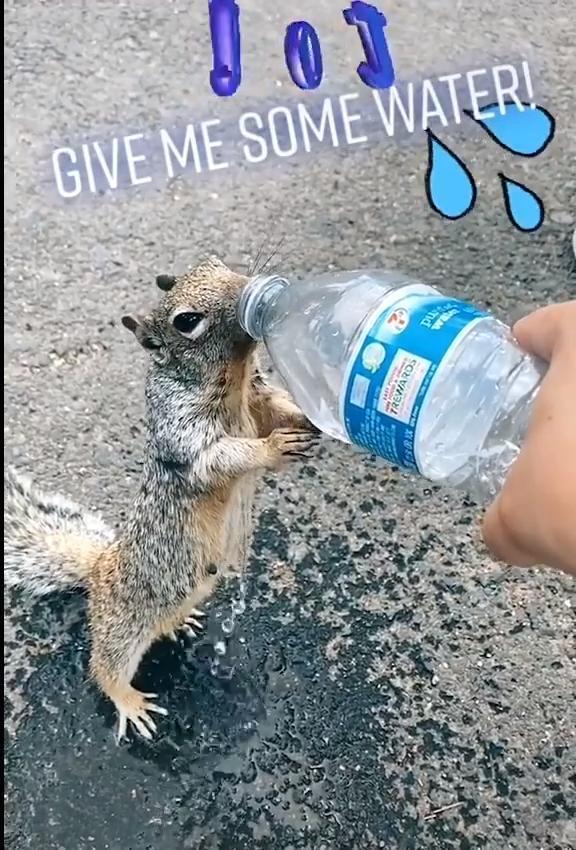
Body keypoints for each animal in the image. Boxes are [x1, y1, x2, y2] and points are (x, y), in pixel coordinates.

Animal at [4, 257, 317, 741]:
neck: (233, 378)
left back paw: (180, 621)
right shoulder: (183, 434)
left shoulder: (259, 396)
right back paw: (130, 703)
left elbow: (278, 409)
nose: (251, 288)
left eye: (215, 262)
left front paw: (314, 417)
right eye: (186, 322)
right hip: (123, 624)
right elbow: (220, 459)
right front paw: (272, 449)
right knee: (105, 666)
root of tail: (98, 570)